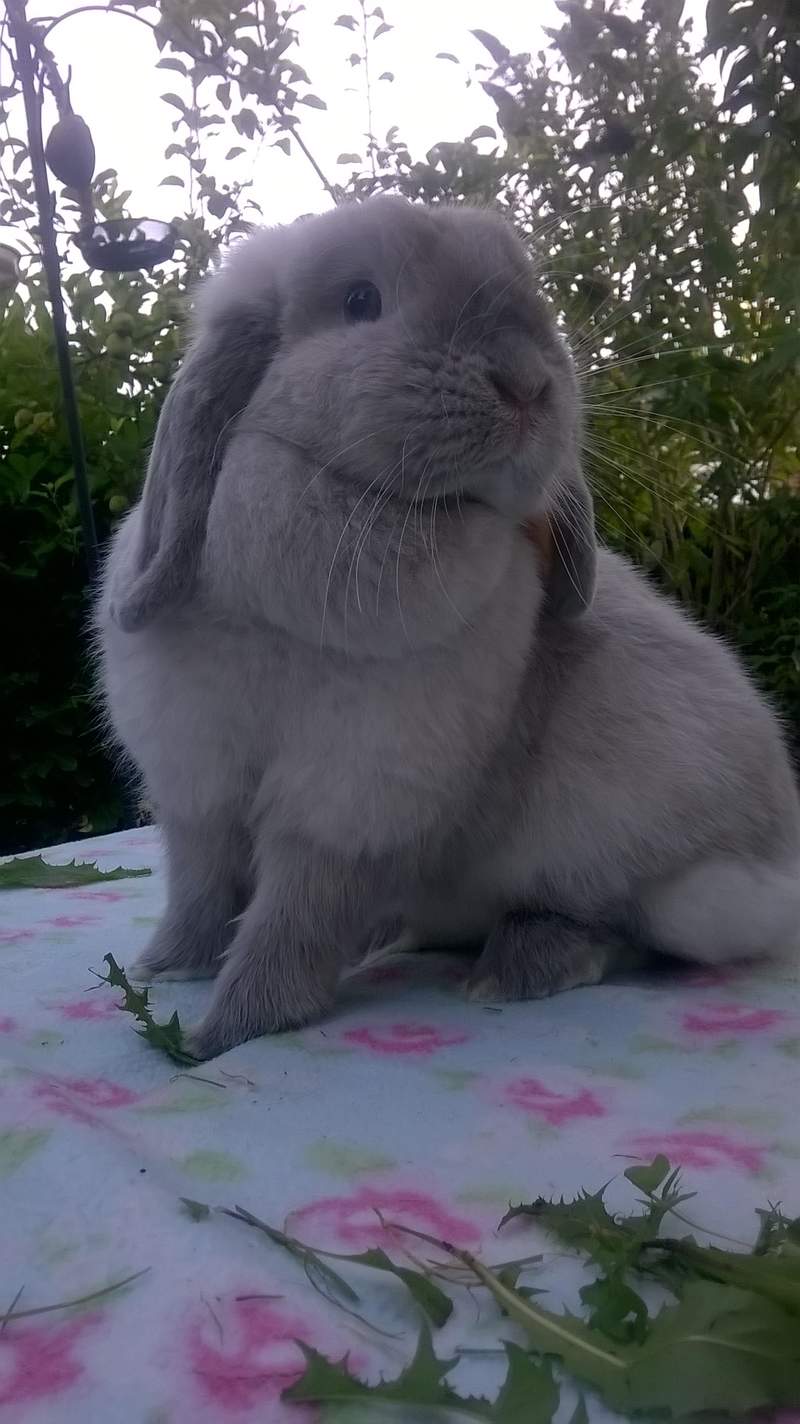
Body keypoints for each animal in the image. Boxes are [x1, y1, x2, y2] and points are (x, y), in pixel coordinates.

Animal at [96, 195, 800, 1060]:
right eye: (360, 300)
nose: (529, 383)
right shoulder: (196, 788)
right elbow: (199, 890)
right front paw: (167, 968)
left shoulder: (349, 804)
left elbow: (291, 916)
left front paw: (226, 1029)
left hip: (689, 891)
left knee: (634, 934)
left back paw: (525, 961)